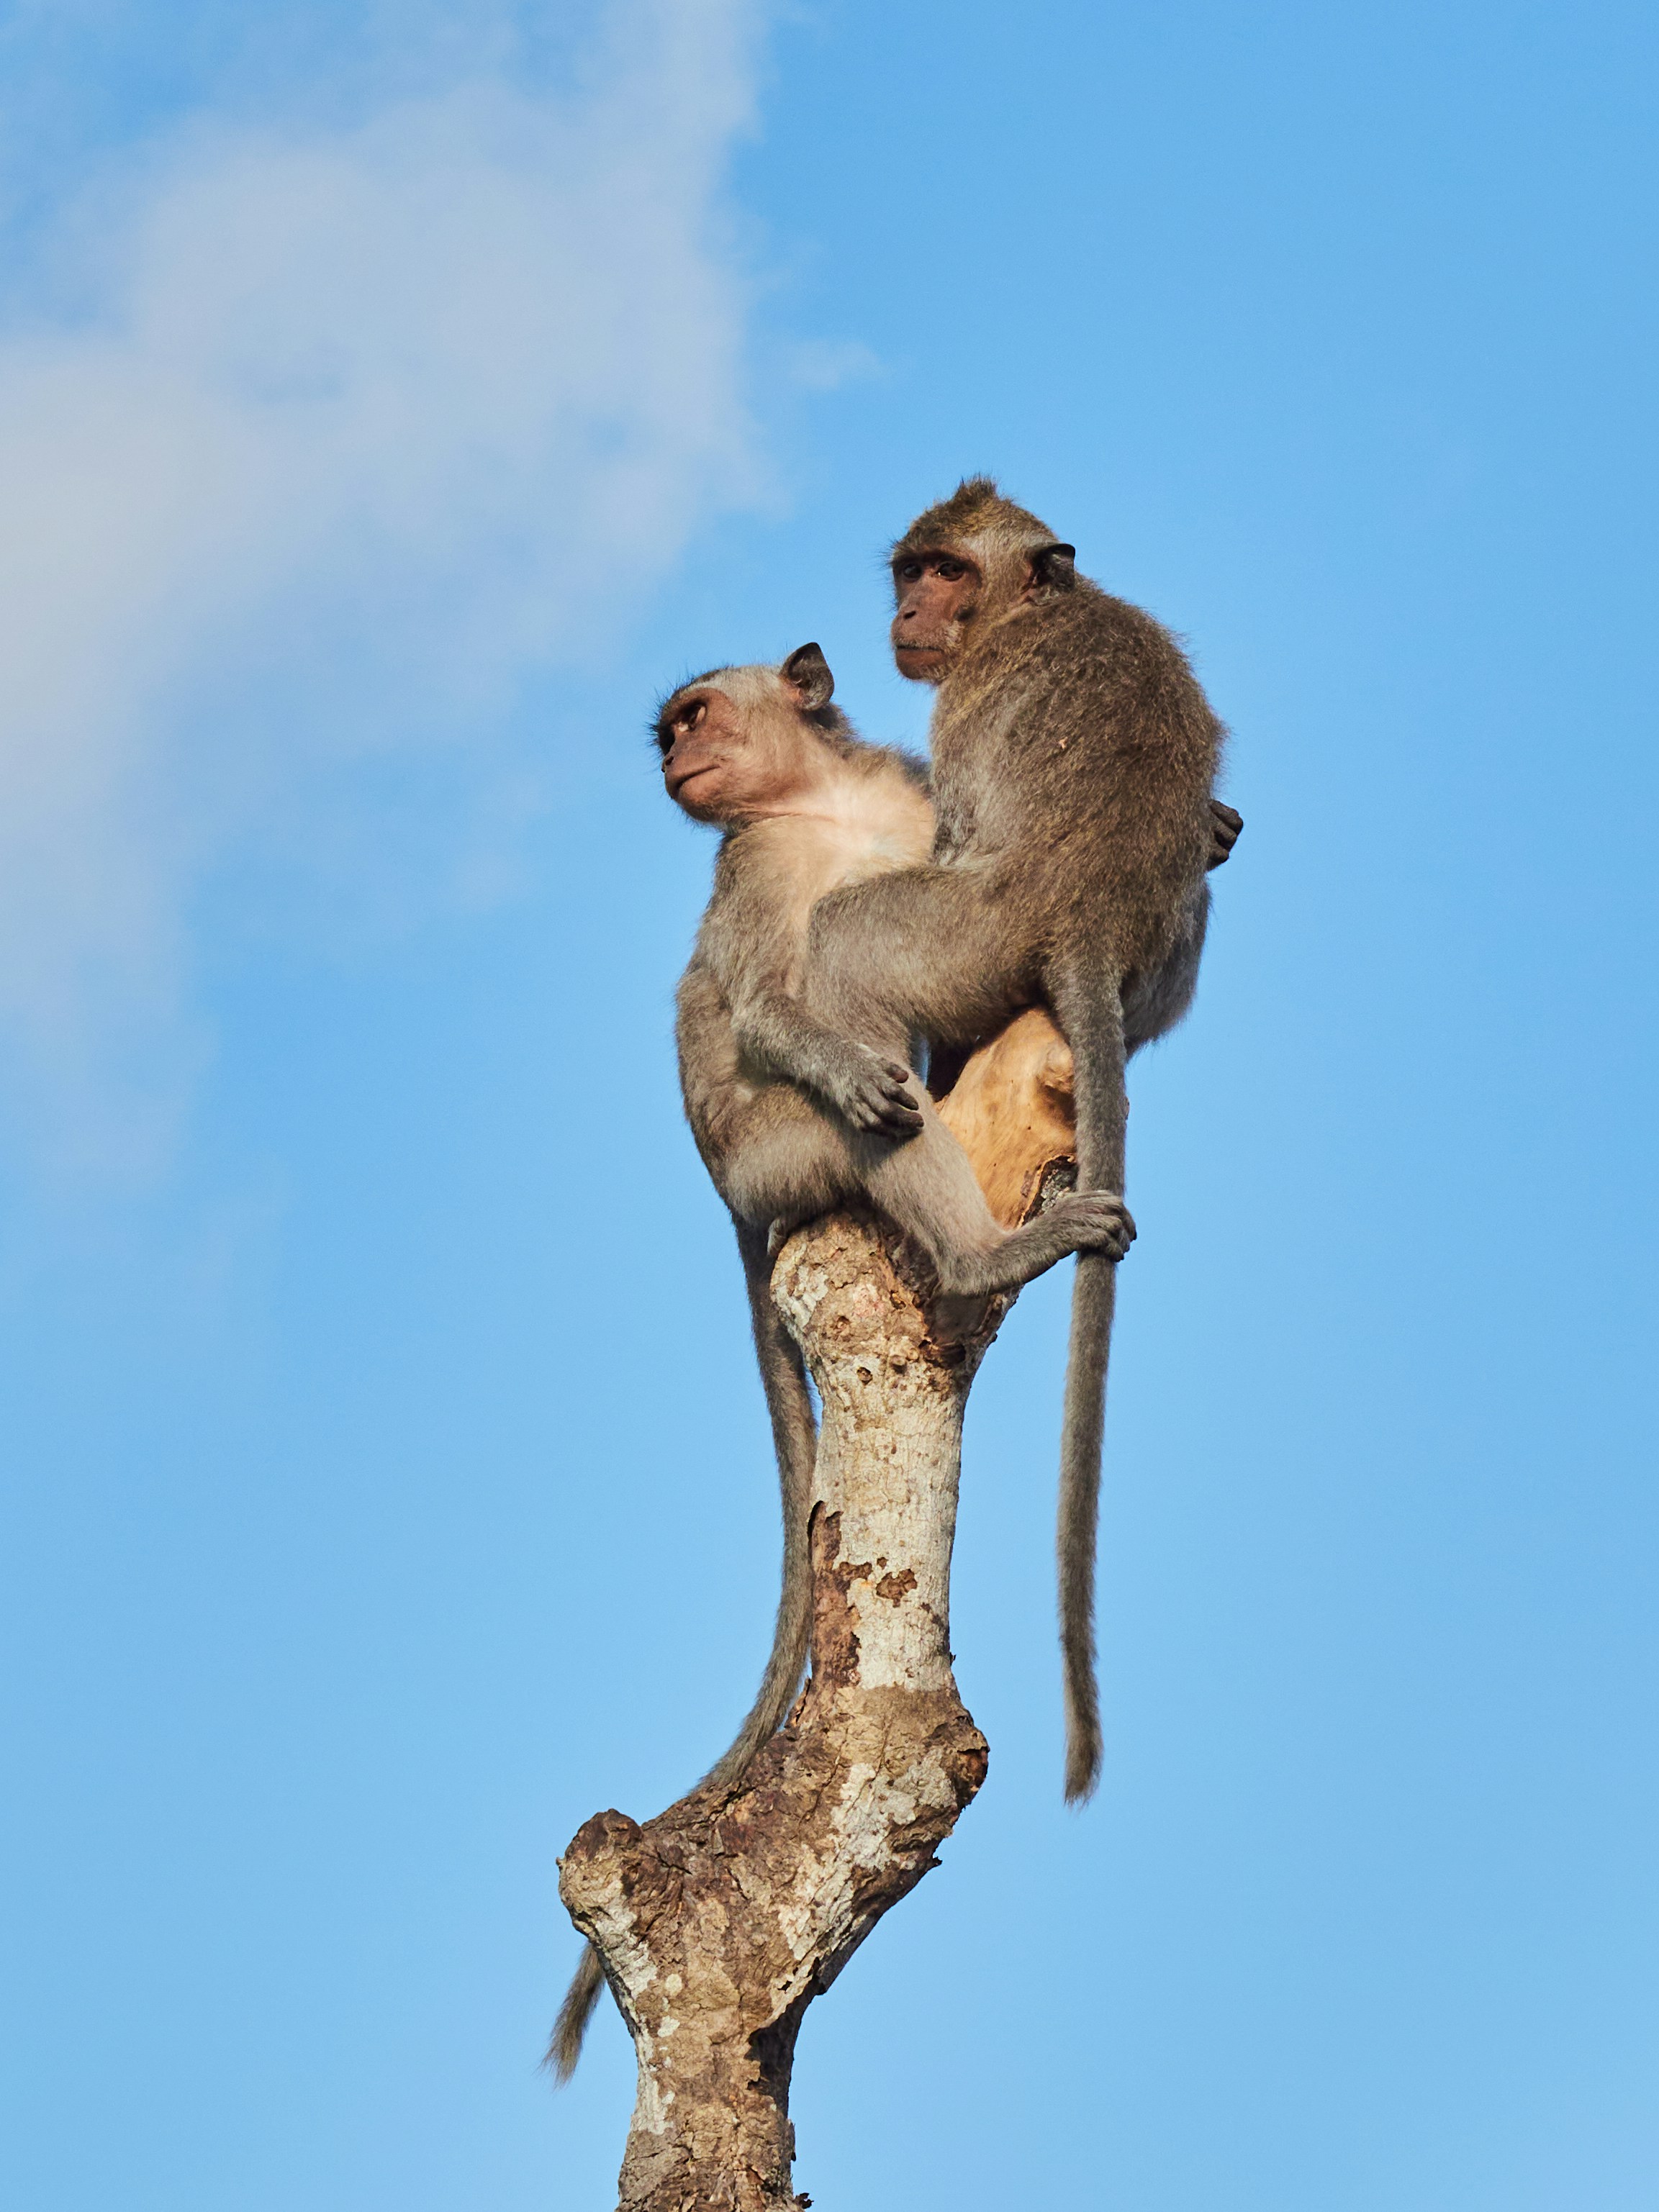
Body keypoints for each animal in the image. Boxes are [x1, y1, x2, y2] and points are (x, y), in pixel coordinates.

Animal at [739, 481, 1230, 1810]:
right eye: (911, 568)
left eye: (946, 571)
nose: (909, 613)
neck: (1035, 602)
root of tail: (1090, 914)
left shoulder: (961, 713)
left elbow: (942, 823)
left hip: (970, 932)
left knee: (850, 933)